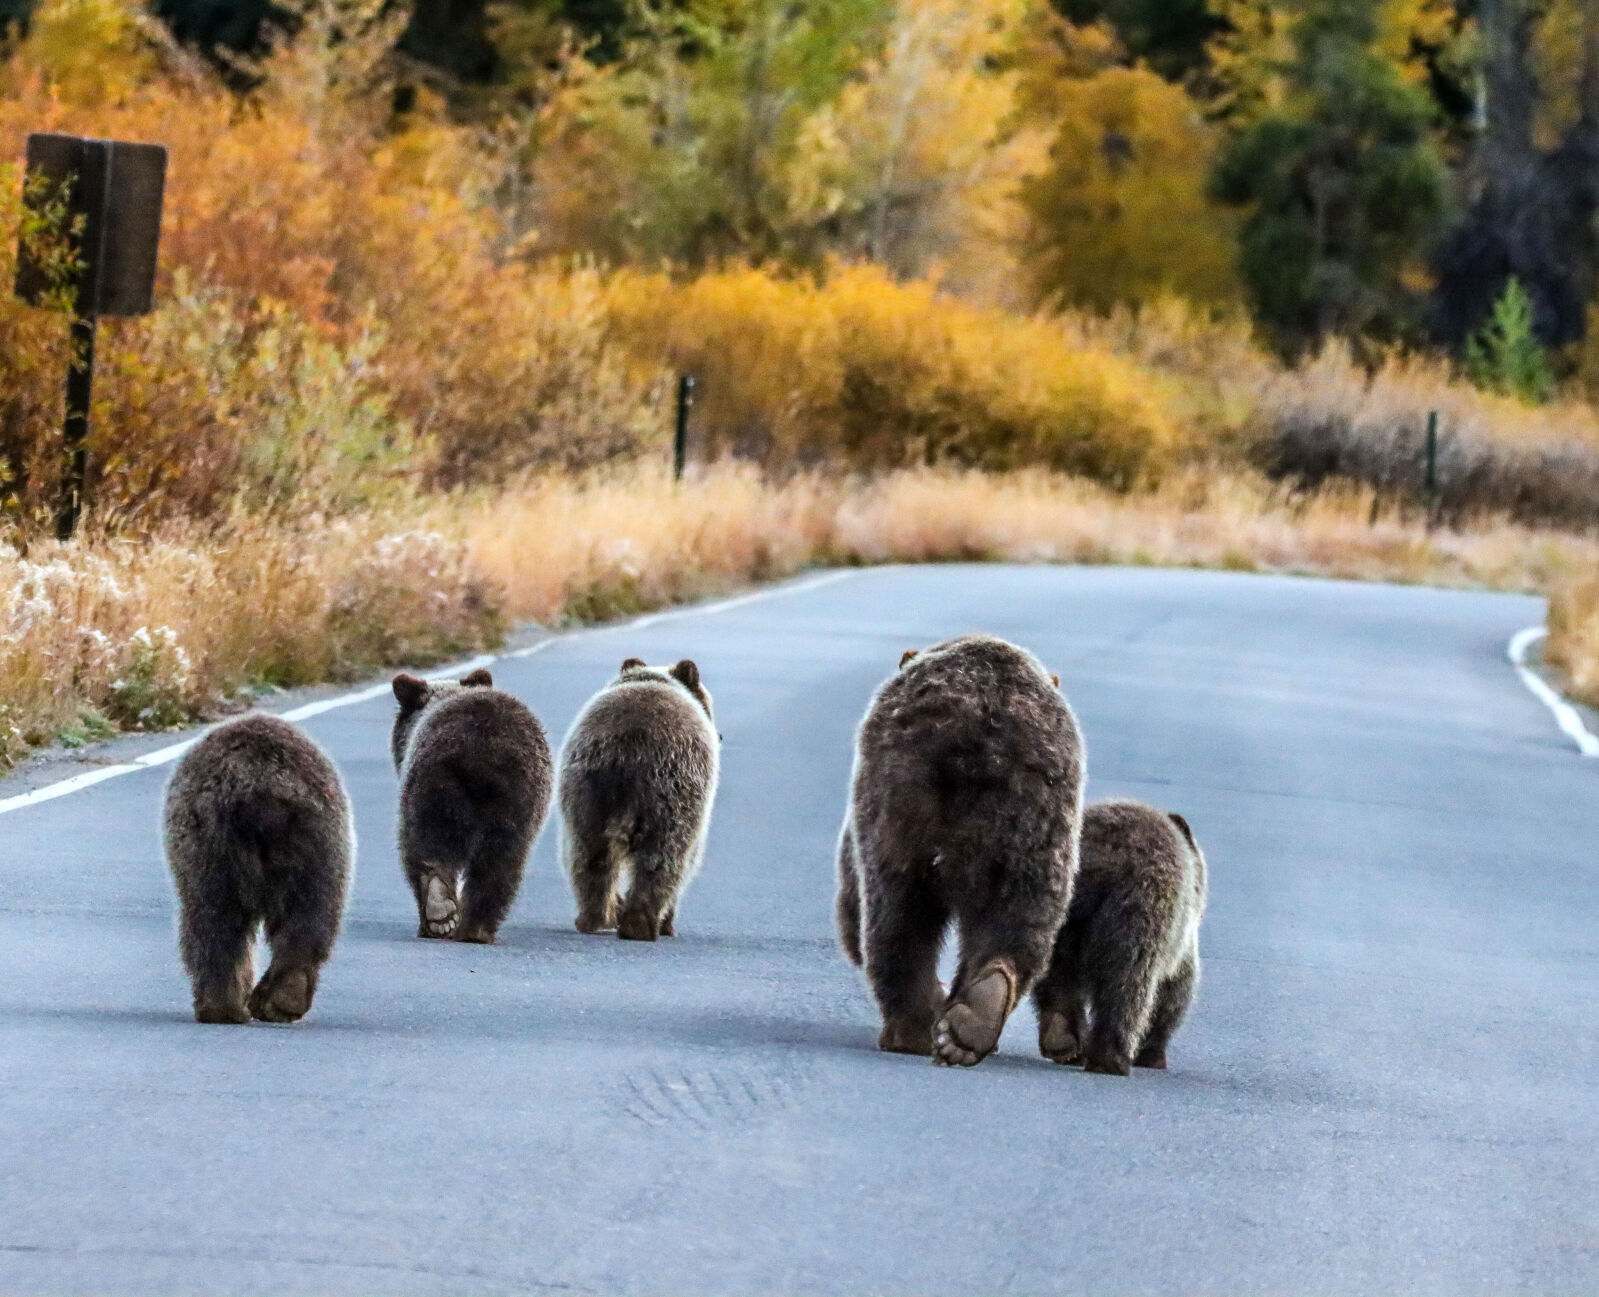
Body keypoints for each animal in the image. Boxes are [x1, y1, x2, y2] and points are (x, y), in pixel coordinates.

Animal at [163, 713, 353, 1025]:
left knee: (213, 920)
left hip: (210, 842)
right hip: (315, 843)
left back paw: (222, 1007)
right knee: (308, 916)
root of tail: (260, 788)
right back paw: (280, 999)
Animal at [391, 668, 553, 945]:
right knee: (499, 862)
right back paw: (463, 922)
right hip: (508, 803)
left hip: (436, 785)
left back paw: (450, 919)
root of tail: (482, 755)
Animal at [557, 658, 719, 942]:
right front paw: (669, 923)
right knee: (664, 859)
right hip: (673, 792)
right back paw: (643, 924)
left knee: (588, 854)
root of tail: (628, 753)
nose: (719, 735)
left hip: (586, 792)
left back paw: (594, 917)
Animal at [837, 634, 1084, 1066]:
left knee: (897, 912)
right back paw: (976, 1016)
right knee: (1022, 916)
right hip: (1037, 824)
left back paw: (912, 1030)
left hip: (900, 799)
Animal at [1033, 799, 1207, 1075]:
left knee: (1054, 974)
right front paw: (1153, 1054)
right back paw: (1112, 1058)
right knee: (1127, 984)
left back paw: (1064, 1040)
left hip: (1051, 910)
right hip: (1140, 910)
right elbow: (1174, 993)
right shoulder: (1181, 943)